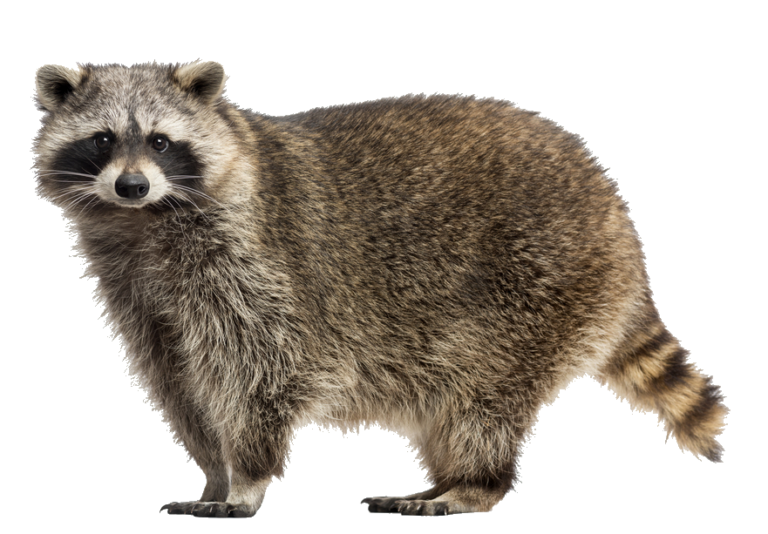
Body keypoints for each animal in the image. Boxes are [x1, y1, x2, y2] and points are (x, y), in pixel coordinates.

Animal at [33, 60, 728, 518]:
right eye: (101, 140)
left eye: (159, 140)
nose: (131, 185)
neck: (144, 222)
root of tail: (616, 218)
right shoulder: (141, 290)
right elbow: (177, 378)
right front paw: (214, 473)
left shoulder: (259, 262)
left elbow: (263, 369)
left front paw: (246, 477)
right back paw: (444, 479)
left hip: (538, 284)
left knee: (483, 398)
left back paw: (472, 483)